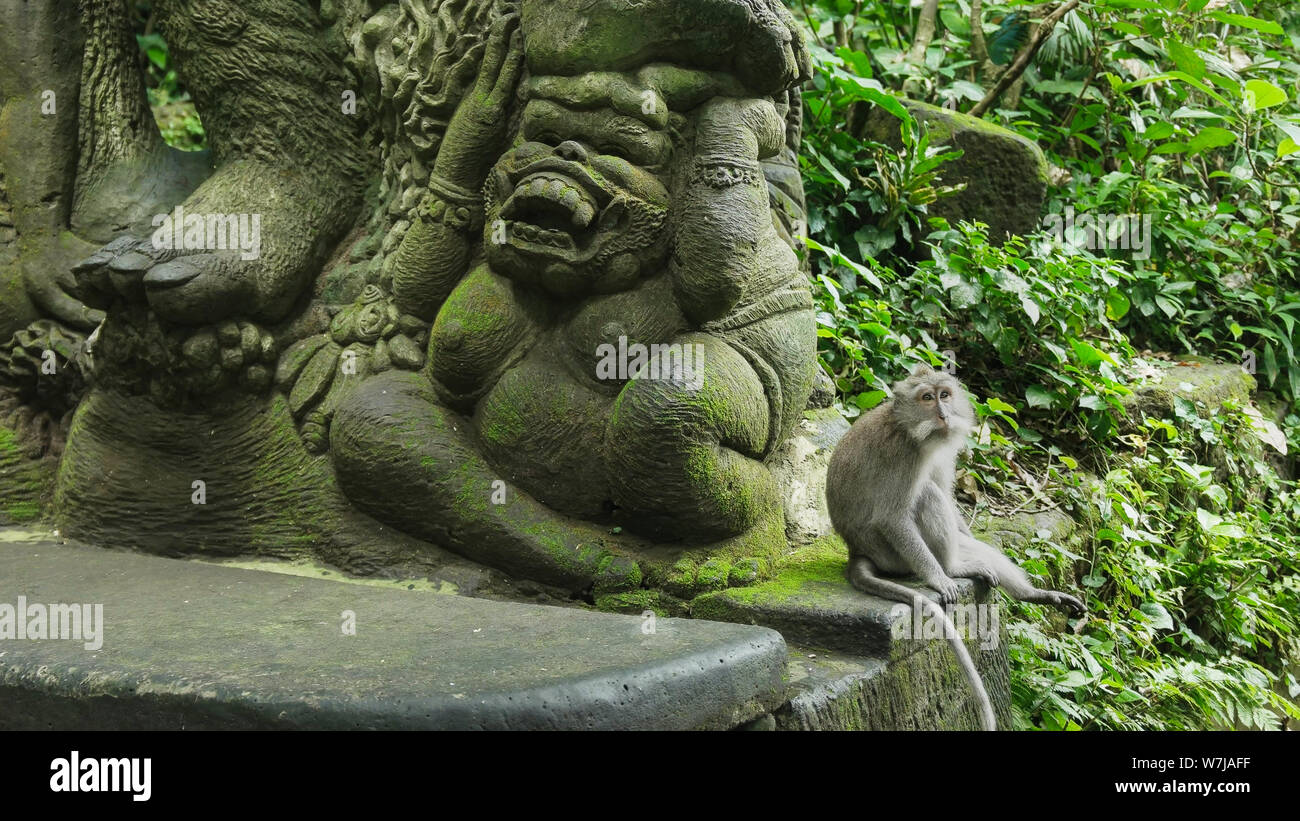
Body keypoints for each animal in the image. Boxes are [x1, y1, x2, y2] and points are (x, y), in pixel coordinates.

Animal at [826, 365, 1084, 731]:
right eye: (927, 397)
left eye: (944, 395)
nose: (943, 414)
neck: (911, 431)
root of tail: (855, 550)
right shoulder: (903, 456)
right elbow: (893, 517)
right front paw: (939, 578)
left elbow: (947, 496)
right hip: (892, 556)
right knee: (926, 497)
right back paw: (951, 569)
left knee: (965, 534)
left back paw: (1031, 594)